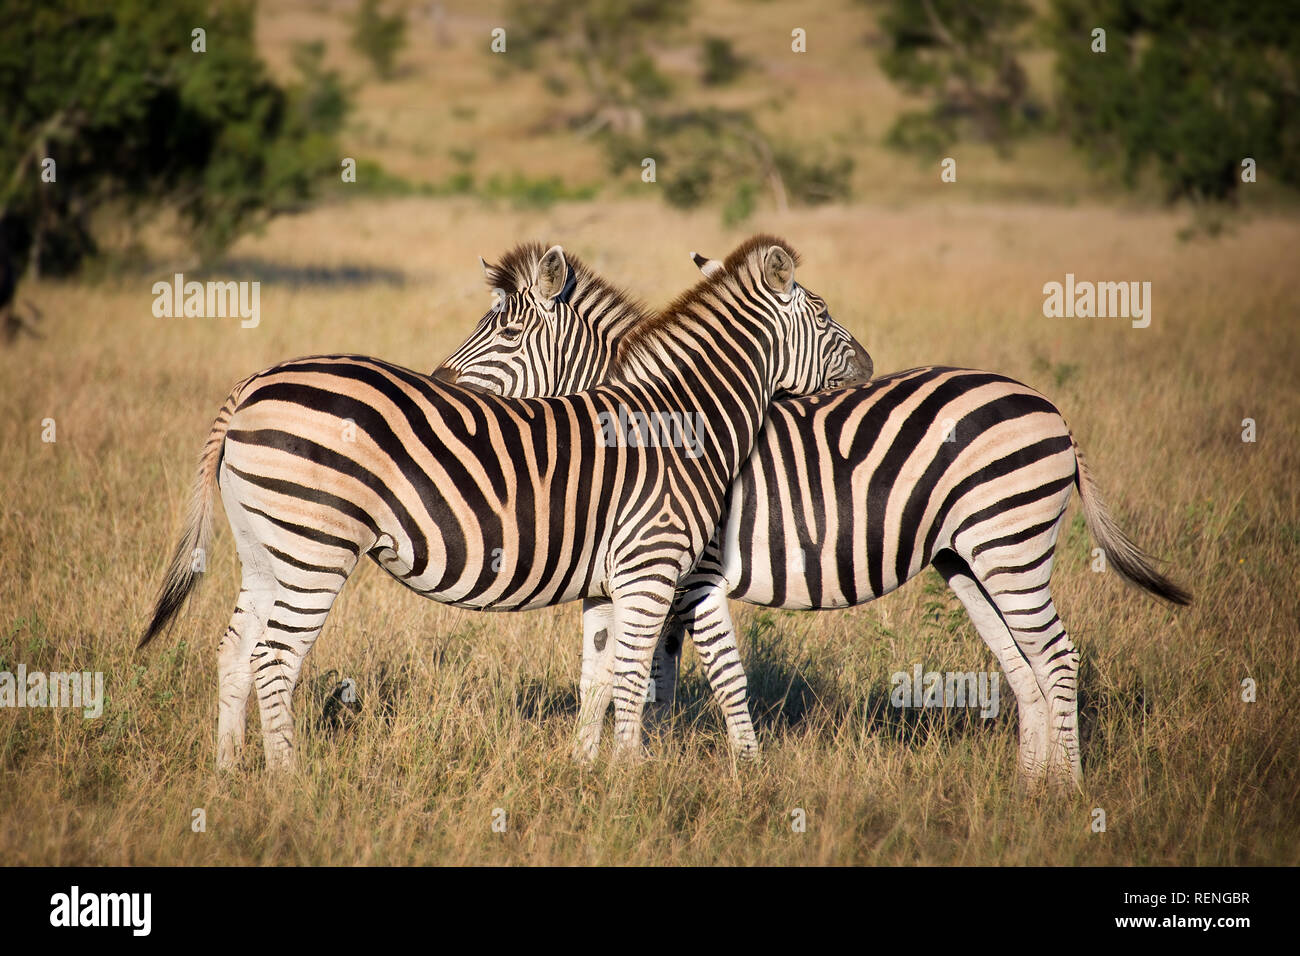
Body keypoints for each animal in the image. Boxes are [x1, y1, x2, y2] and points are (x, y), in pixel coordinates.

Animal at [140, 236, 872, 771]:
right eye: (825, 315)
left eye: (508, 335)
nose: (868, 364)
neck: (679, 420)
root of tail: (253, 385)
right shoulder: (661, 567)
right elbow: (658, 674)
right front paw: (644, 778)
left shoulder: (609, 581)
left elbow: (602, 678)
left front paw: (589, 773)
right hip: (314, 547)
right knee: (274, 659)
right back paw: (289, 783)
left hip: (269, 547)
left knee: (234, 651)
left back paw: (230, 775)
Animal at [437, 250, 1191, 786]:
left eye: (505, 332)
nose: (440, 386)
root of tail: (1049, 405)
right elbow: (654, 676)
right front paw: (615, 766)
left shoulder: (692, 571)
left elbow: (695, 674)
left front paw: (713, 774)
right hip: (970, 557)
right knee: (1022, 660)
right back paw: (1030, 786)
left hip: (1011, 541)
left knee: (1057, 656)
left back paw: (1067, 792)